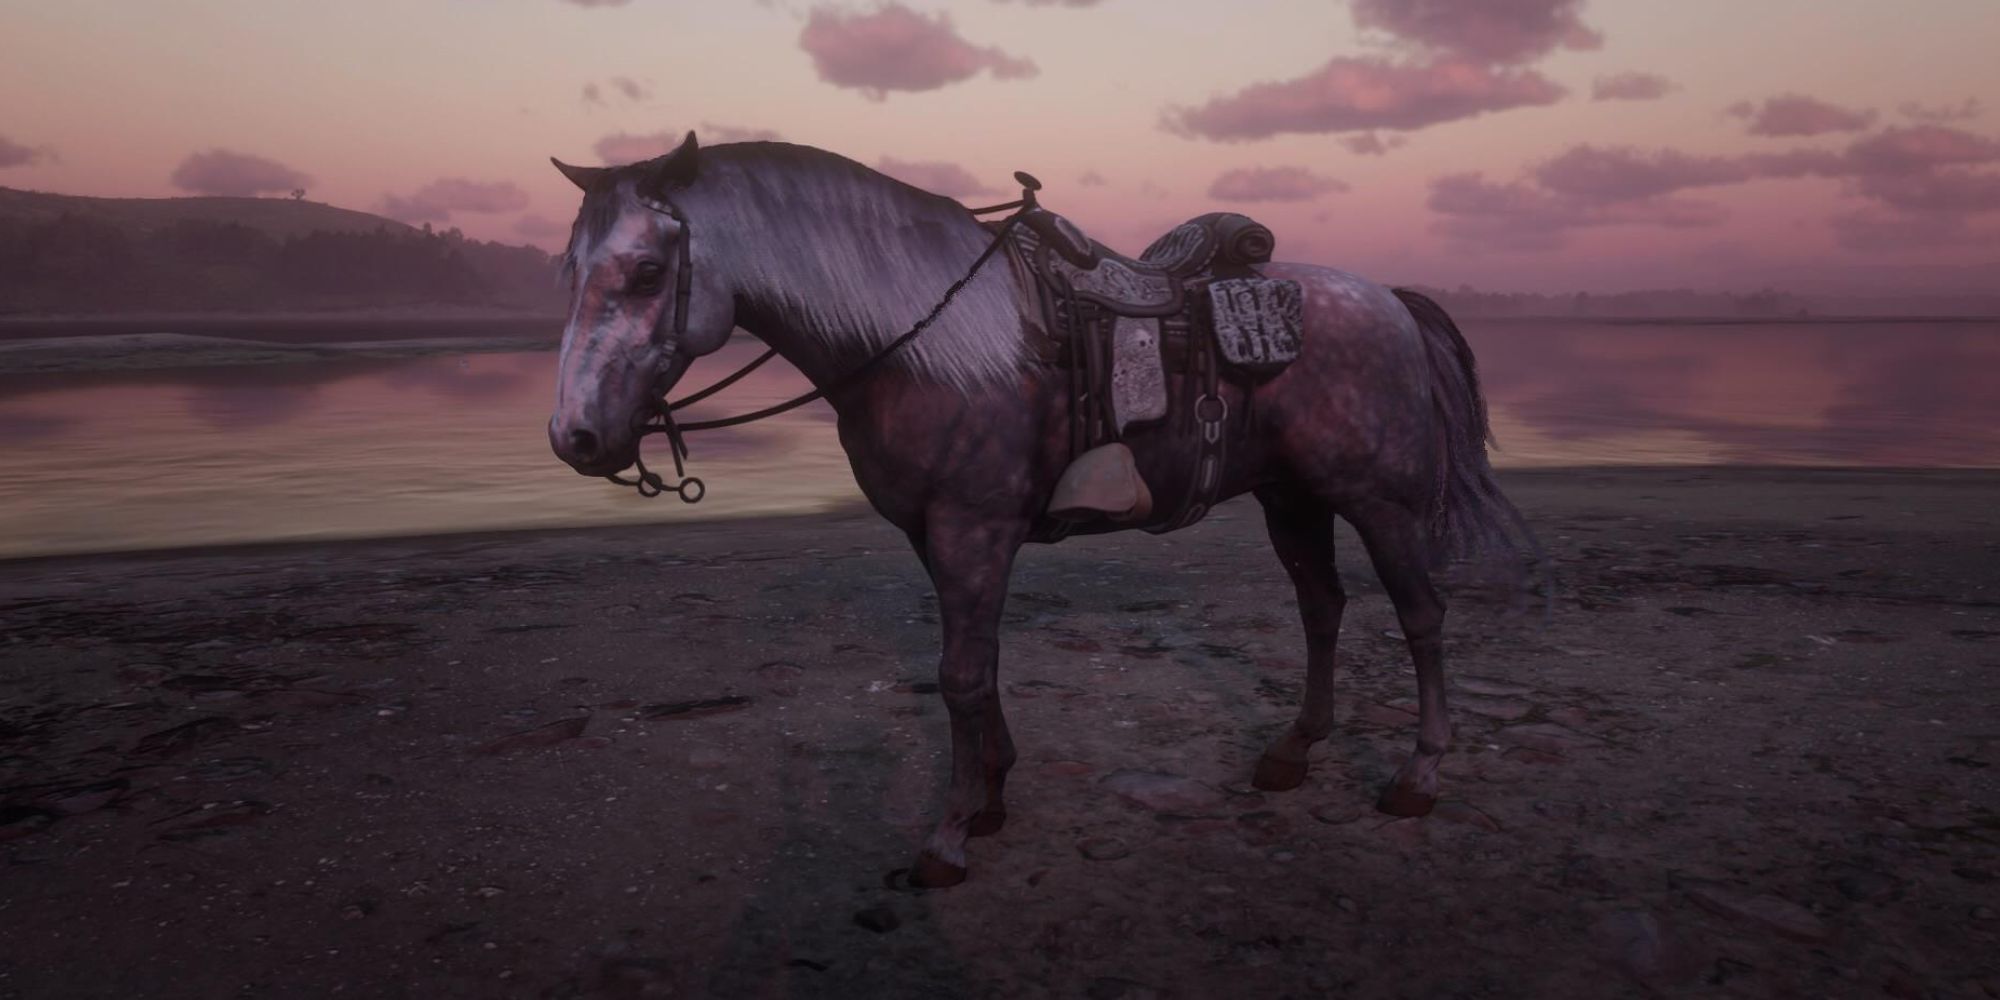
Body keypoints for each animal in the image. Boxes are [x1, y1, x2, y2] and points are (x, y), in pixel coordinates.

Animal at [545, 133, 1537, 888]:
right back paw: (1292, 754)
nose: (575, 437)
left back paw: (1418, 776)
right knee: (1323, 609)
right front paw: (990, 797)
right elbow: (977, 666)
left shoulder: (973, 527)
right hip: (1293, 499)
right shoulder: (936, 534)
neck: (927, 337)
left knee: (1421, 618)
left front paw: (947, 837)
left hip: (1382, 502)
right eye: (570, 269)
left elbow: (958, 676)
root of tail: (1390, 302)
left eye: (646, 271)